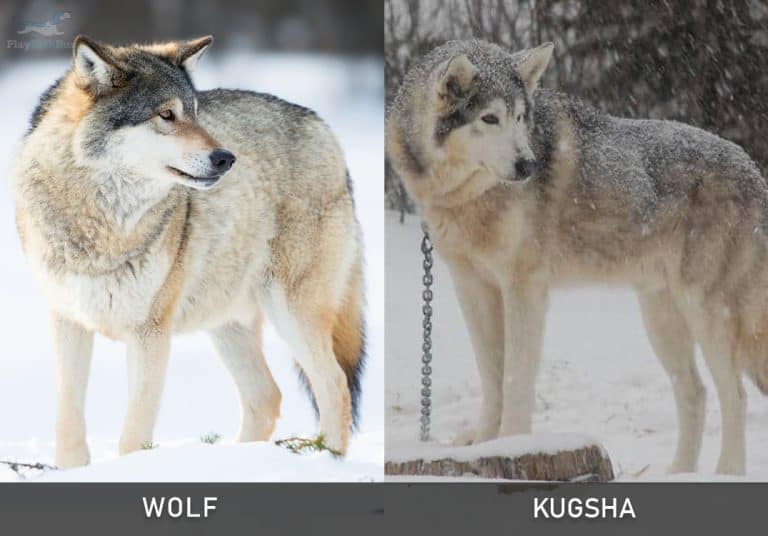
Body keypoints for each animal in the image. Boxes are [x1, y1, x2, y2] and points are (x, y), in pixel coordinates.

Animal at [10, 35, 365, 468]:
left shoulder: (149, 332)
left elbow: (134, 435)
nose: (226, 159)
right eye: (166, 115)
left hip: (291, 311)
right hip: (227, 324)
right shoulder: (69, 321)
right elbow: (68, 425)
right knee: (266, 397)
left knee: (333, 383)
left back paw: (327, 460)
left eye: (195, 113)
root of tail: (322, 125)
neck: (100, 225)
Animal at [386, 39, 768, 475]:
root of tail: (754, 172)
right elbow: (491, 373)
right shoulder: (472, 286)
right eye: (489, 118)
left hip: (706, 313)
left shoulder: (525, 287)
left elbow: (515, 379)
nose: (528, 164)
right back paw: (679, 475)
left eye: (520, 117)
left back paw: (728, 473)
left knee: (735, 395)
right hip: (661, 319)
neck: (466, 195)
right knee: (696, 393)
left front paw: (513, 443)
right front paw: (485, 441)